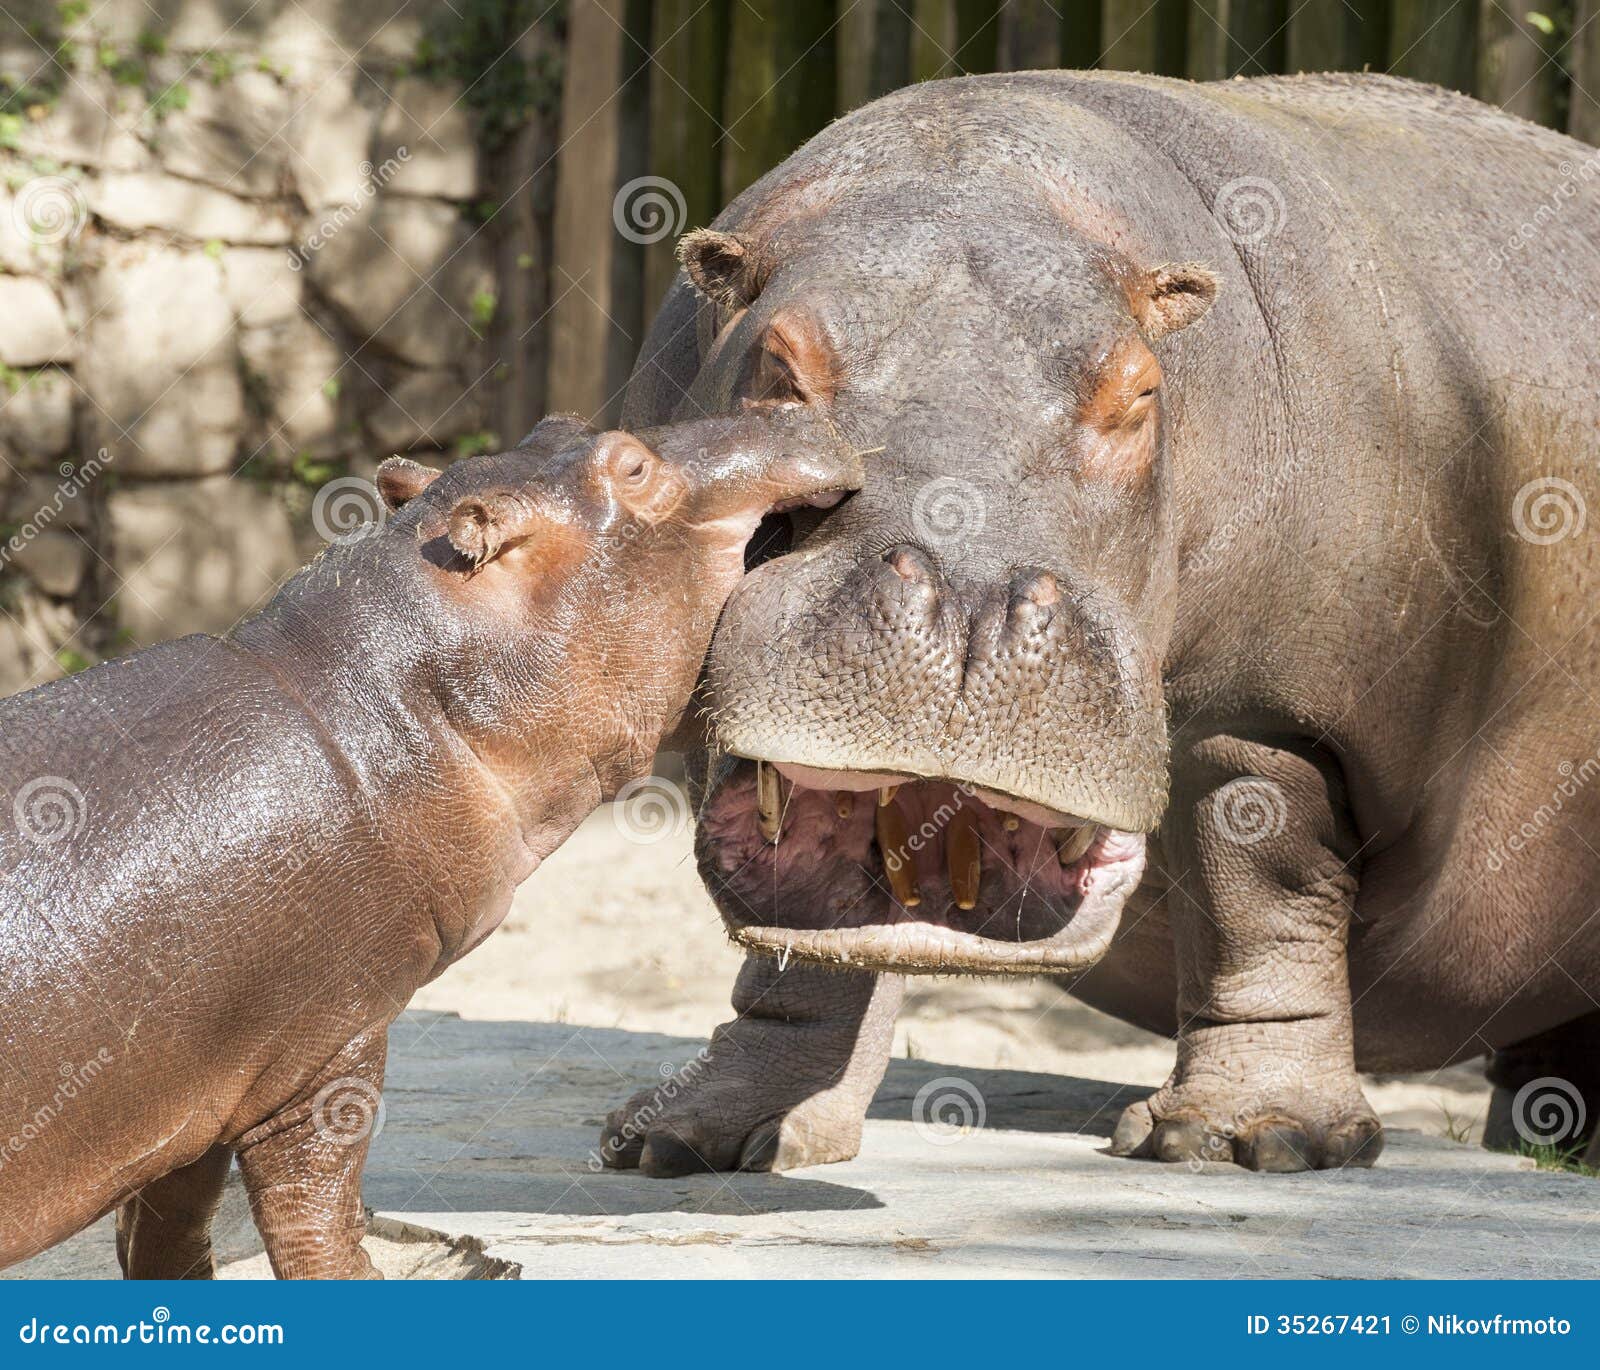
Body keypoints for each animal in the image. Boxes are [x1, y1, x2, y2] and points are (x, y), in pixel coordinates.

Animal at [0, 409, 861, 1278]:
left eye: (560, 424)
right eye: (633, 467)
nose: (788, 409)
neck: (374, 702)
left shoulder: (200, 1095)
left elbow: (167, 1233)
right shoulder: (321, 1053)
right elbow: (316, 1221)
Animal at [600, 71, 1600, 1178]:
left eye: (1139, 391)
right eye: (776, 369)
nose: (965, 607)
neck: (968, 177)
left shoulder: (1263, 715)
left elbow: (1258, 900)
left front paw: (1251, 1139)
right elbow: (803, 944)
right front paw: (686, 1137)